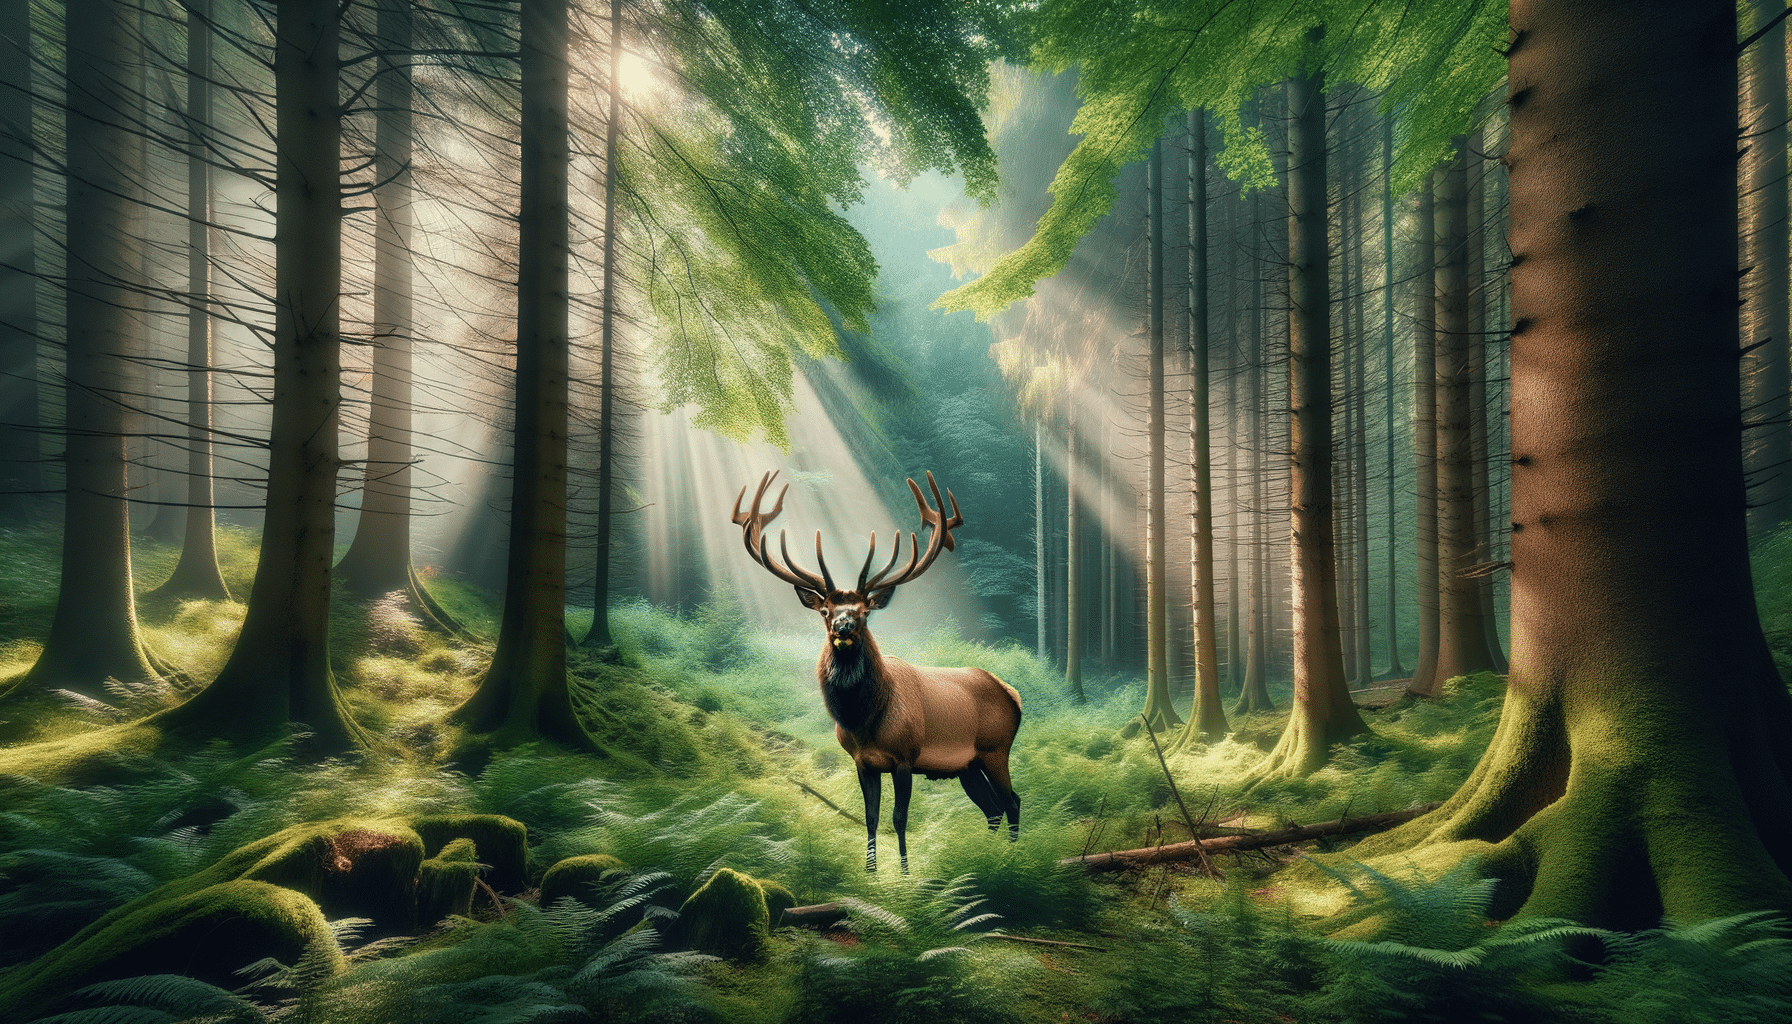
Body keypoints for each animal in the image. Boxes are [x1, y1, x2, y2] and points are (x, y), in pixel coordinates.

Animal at [732, 470, 1021, 873]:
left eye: (865, 611)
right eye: (825, 610)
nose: (844, 626)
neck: (864, 721)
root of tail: (1013, 694)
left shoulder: (905, 756)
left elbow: (899, 818)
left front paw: (904, 873)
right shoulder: (863, 761)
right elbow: (871, 817)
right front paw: (870, 873)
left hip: (996, 748)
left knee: (1012, 801)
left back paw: (1013, 857)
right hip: (967, 764)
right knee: (993, 809)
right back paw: (987, 856)